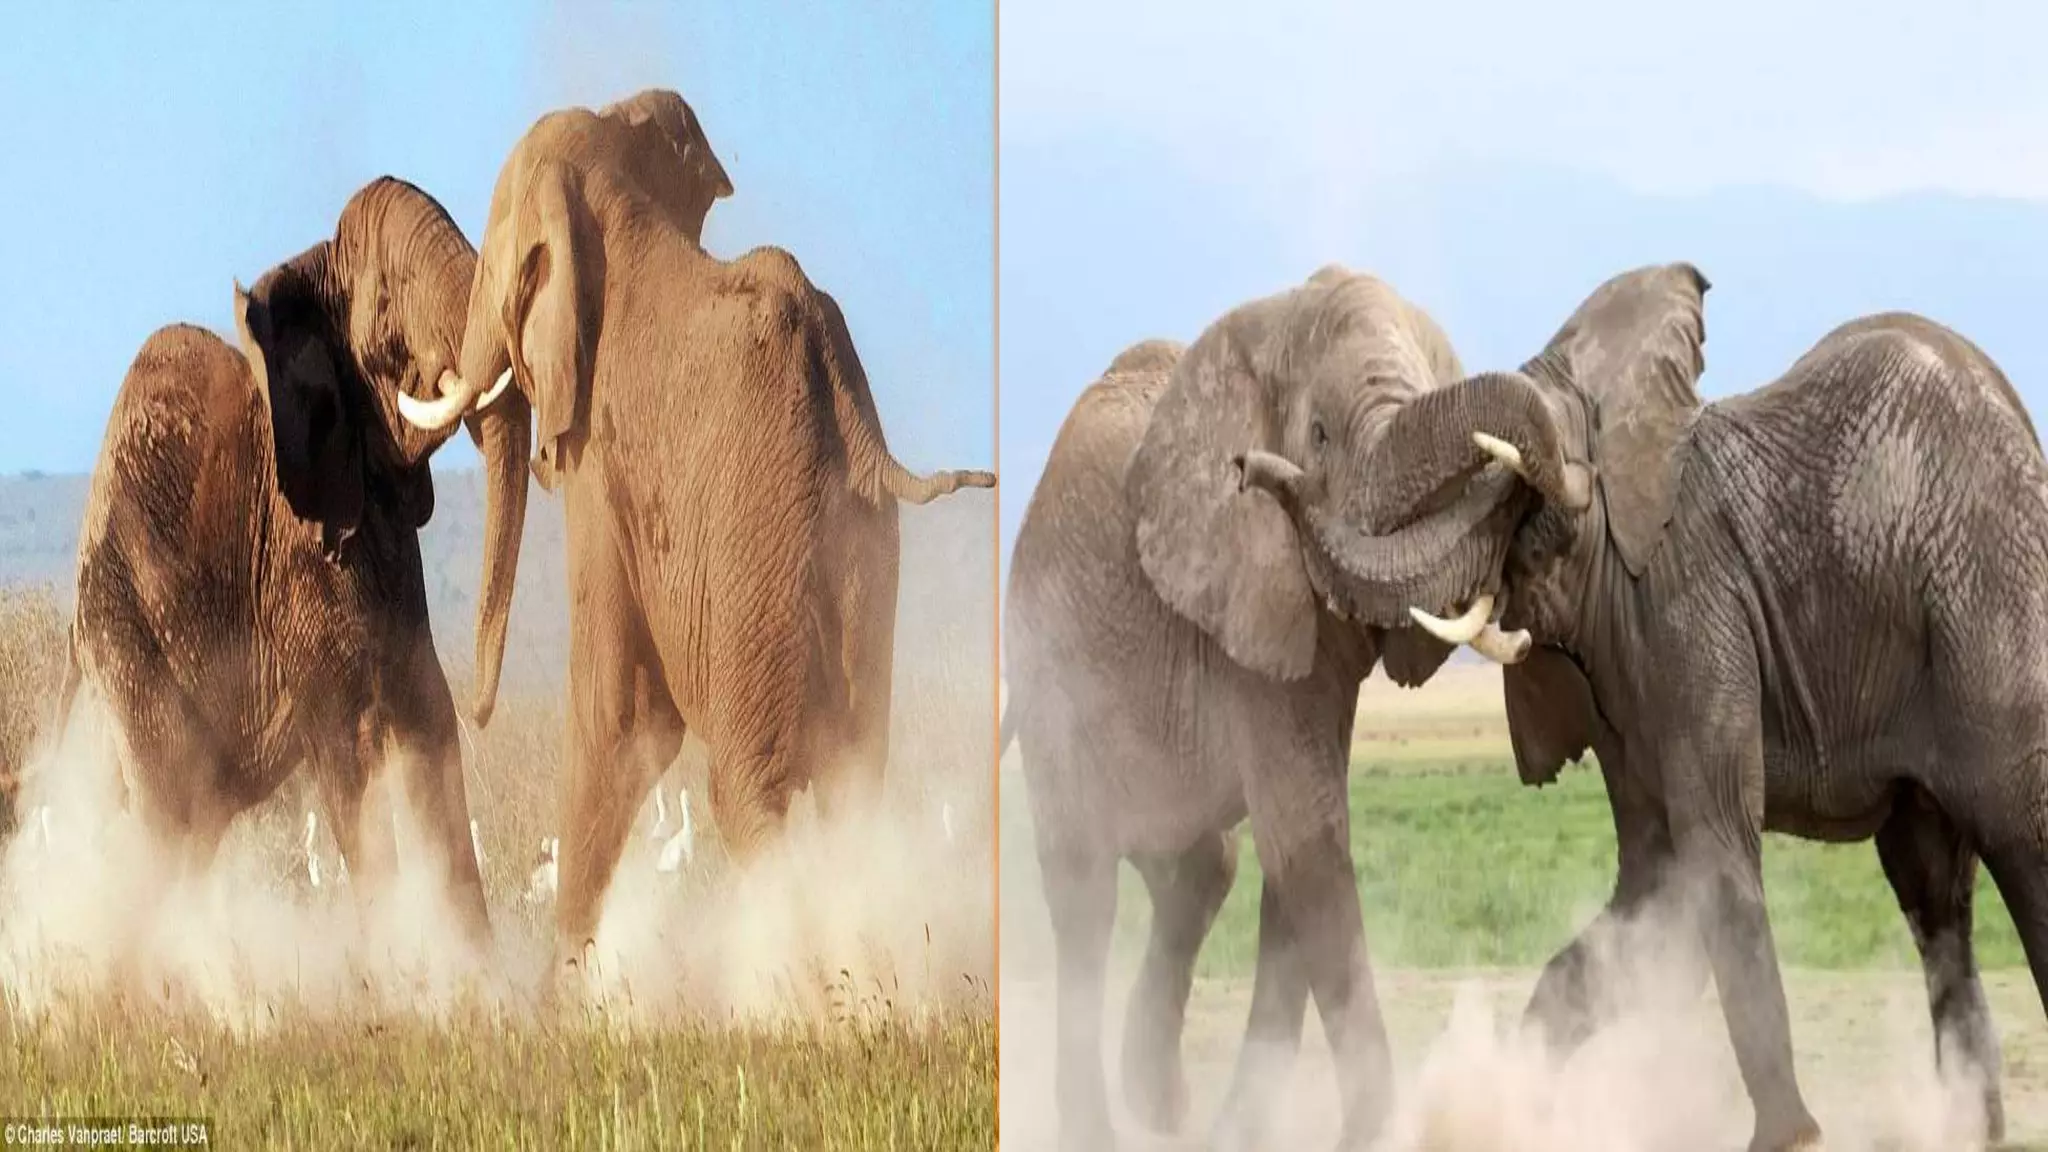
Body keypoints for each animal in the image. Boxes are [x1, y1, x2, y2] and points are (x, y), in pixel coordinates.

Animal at [62, 175, 514, 953]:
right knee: (165, 809)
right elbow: (350, 736)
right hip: (124, 638)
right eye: (388, 299)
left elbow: (428, 712)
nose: (491, 705)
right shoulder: (296, 552)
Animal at [394, 88, 995, 974]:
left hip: (753, 548)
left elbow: (619, 710)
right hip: (860, 551)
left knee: (748, 793)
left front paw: (560, 994)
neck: (619, 201)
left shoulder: (600, 464)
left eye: (501, 263)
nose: (476, 714)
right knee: (852, 779)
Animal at [1000, 266, 1543, 1151]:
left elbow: (1300, 844)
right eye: (1317, 436)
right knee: (1085, 888)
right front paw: (1372, 1133)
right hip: (1047, 663)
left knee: (1199, 864)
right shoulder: (1241, 598)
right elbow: (1308, 838)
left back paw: (1161, 1106)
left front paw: (1246, 1131)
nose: (1258, 470)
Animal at [1243, 261, 2048, 1150]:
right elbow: (1654, 891)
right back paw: (1969, 1129)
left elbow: (1712, 849)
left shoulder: (1692, 607)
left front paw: (1789, 1140)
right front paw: (1520, 1099)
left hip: (1987, 602)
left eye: (1525, 502)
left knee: (2020, 835)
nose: (1248, 465)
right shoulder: (1623, 677)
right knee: (1933, 895)